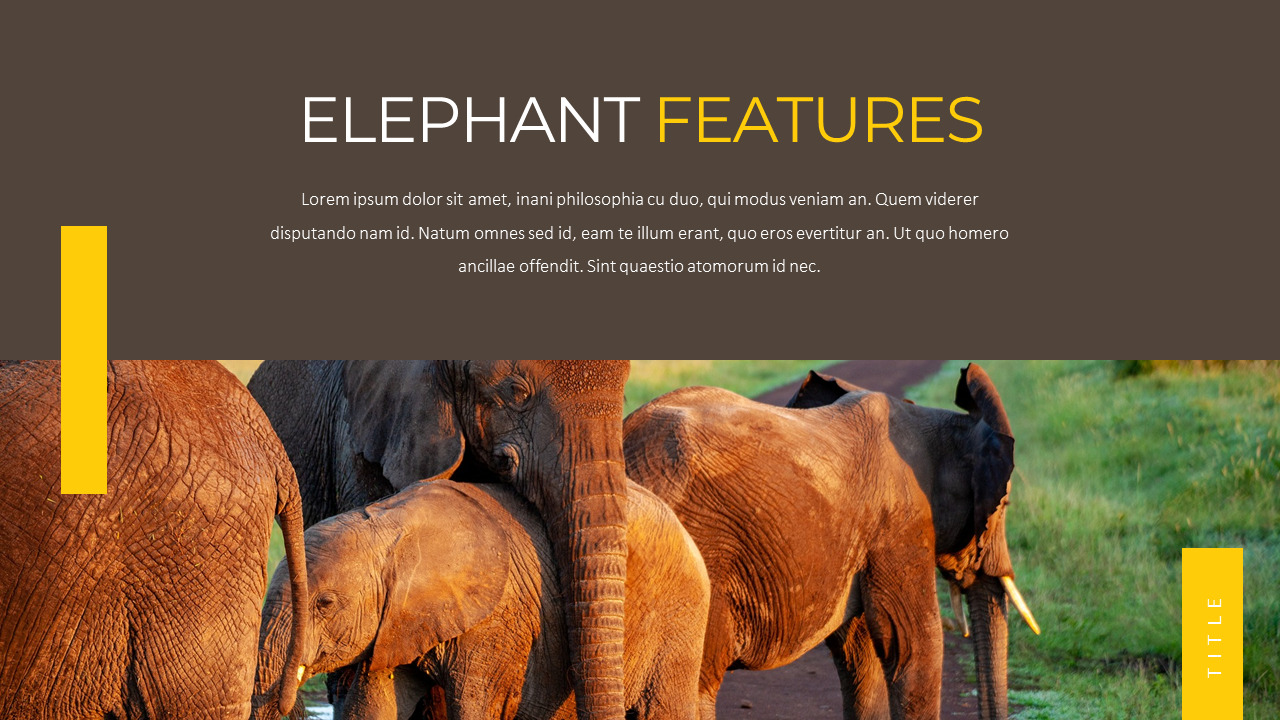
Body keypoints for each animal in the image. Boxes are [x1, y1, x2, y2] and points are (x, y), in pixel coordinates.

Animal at [252, 478, 709, 720]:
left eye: (324, 603)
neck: (386, 524)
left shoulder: (495, 625)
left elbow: (474, 705)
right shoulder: (391, 626)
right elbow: (373, 706)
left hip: (680, 616)